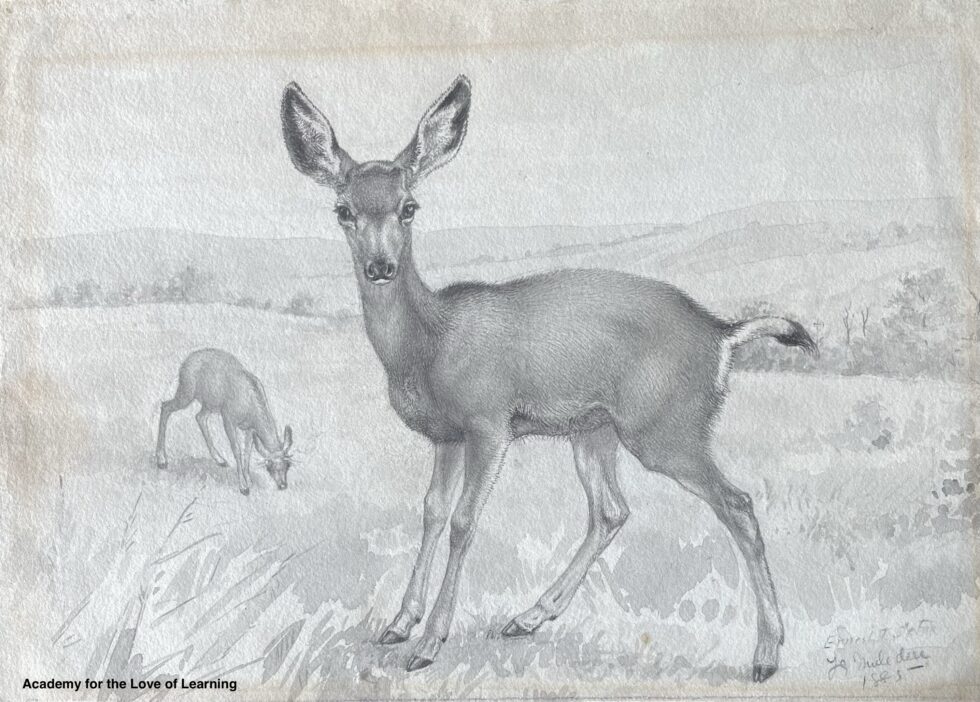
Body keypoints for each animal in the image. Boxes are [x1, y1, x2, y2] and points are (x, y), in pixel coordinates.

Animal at [155, 348, 294, 495]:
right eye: (269, 465)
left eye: (288, 464)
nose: (283, 485)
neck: (251, 404)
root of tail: (185, 362)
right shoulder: (228, 419)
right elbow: (237, 450)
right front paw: (243, 487)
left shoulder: (250, 428)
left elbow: (247, 452)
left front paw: (249, 480)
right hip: (187, 392)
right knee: (165, 406)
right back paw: (162, 460)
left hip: (209, 404)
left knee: (199, 417)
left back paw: (220, 459)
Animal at [280, 75, 815, 682]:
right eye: (342, 210)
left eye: (409, 206)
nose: (379, 266)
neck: (431, 342)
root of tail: (722, 336)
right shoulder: (446, 435)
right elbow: (431, 513)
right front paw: (397, 625)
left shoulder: (489, 423)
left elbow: (464, 521)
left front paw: (429, 644)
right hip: (594, 430)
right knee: (612, 510)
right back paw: (528, 616)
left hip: (666, 428)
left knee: (738, 504)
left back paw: (766, 655)